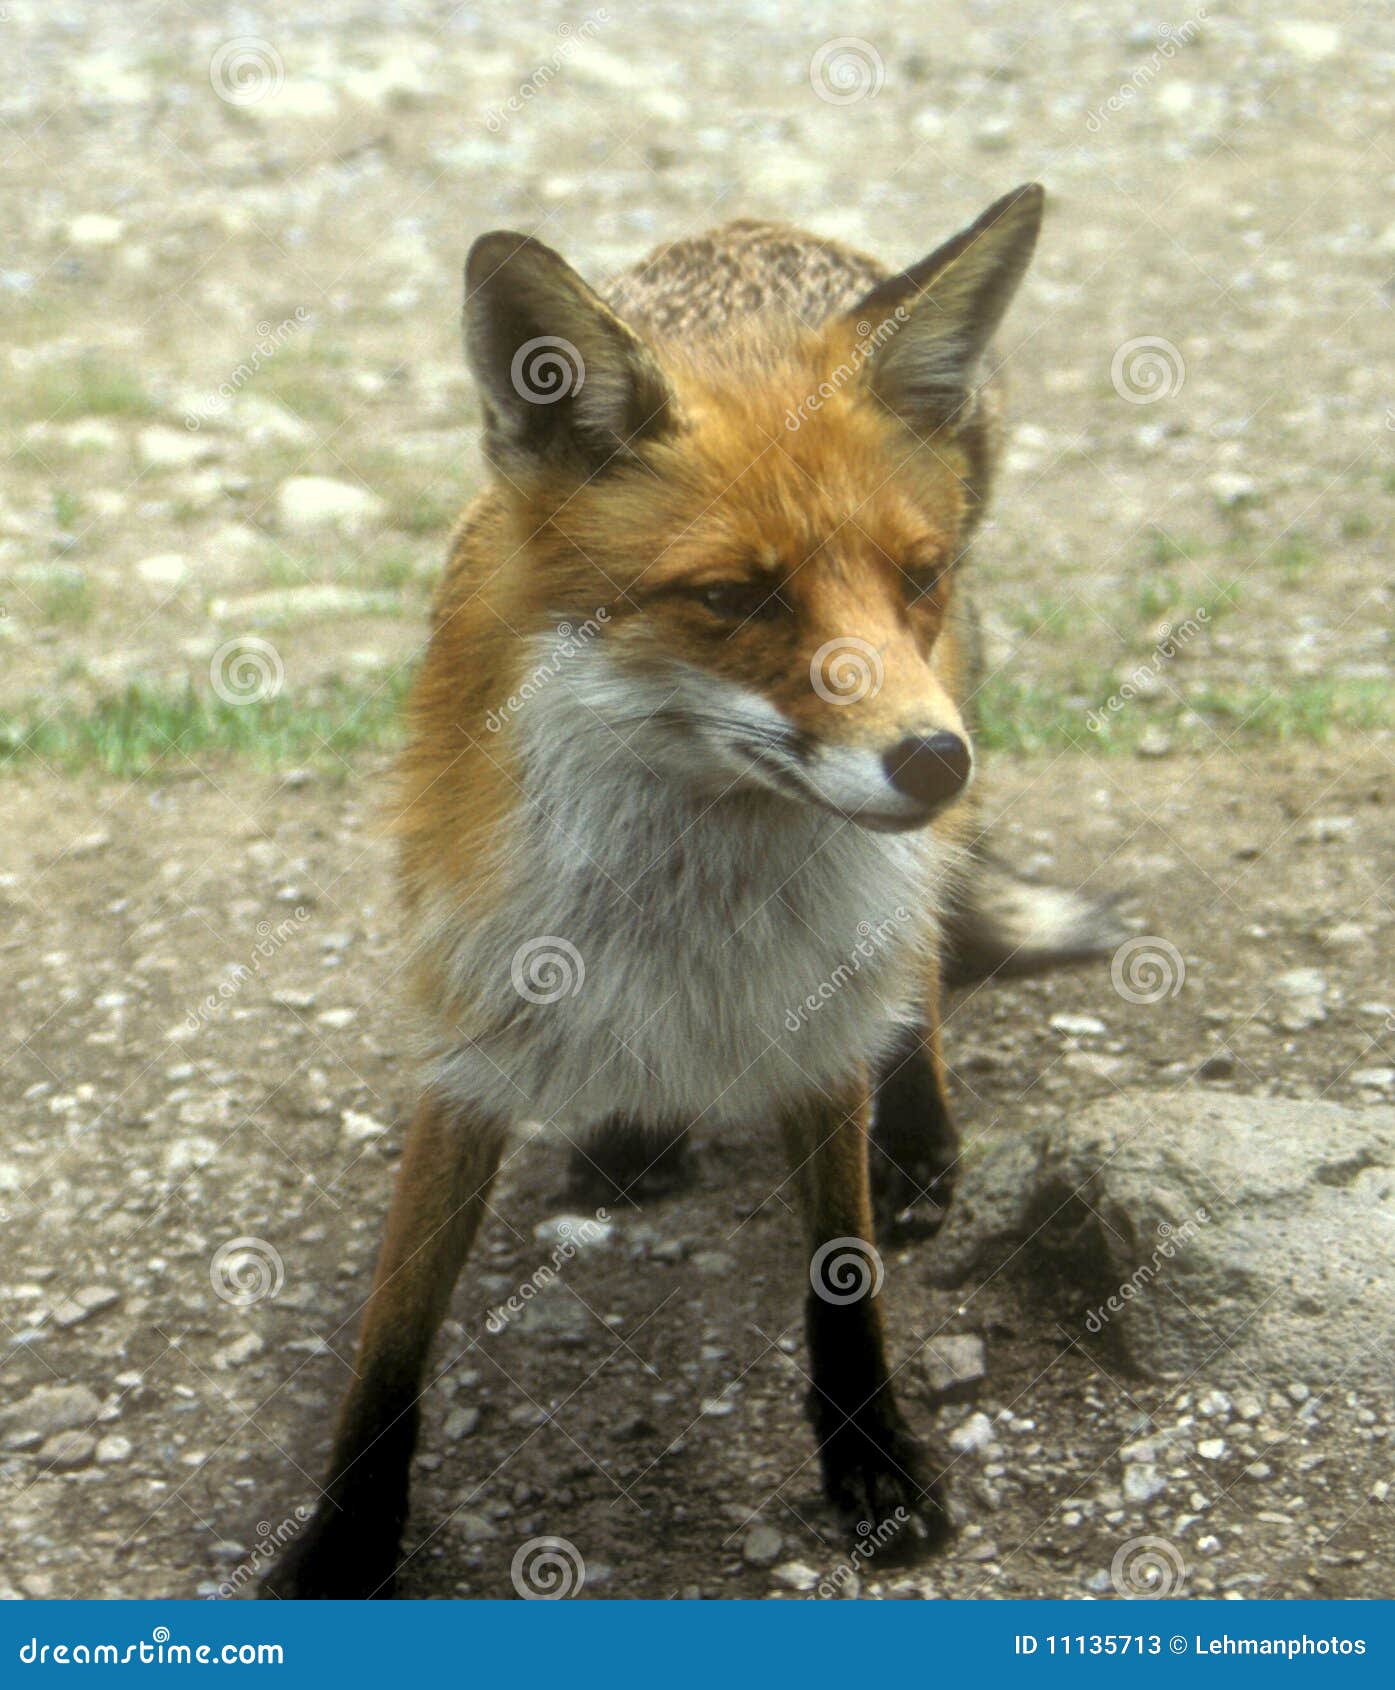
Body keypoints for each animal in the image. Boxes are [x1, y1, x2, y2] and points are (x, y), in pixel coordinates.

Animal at [261, 183, 1120, 1599]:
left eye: (916, 576)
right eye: (734, 597)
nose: (934, 761)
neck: (694, 881)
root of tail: (757, 225)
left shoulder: (822, 992)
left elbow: (842, 1275)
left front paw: (873, 1464)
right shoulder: (471, 1014)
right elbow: (395, 1326)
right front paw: (345, 1535)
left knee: (925, 950)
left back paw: (920, 1139)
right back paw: (638, 1131)